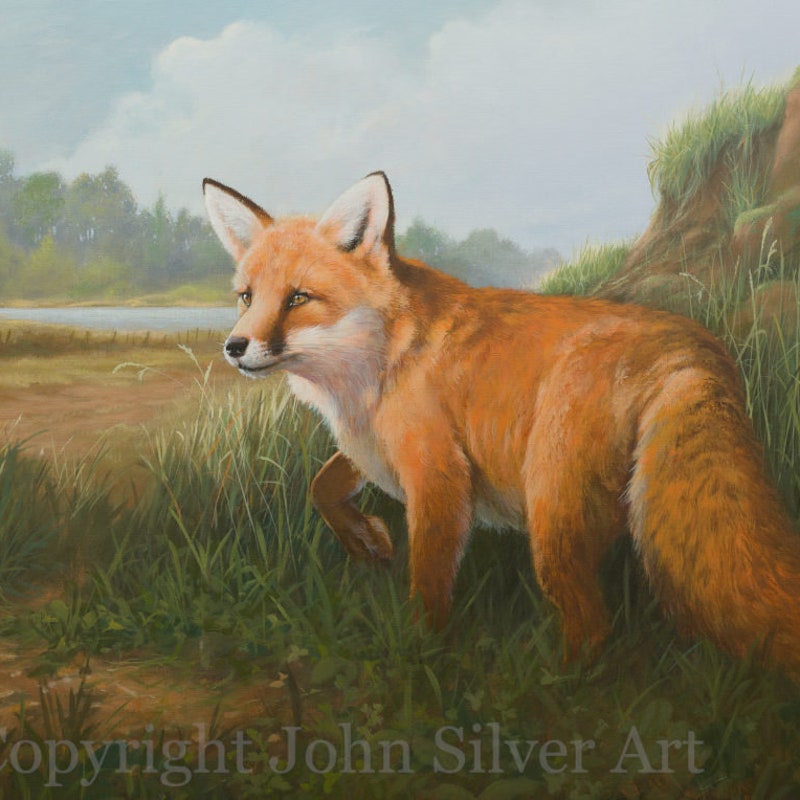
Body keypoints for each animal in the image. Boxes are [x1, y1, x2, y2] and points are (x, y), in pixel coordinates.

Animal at [203, 170, 800, 677]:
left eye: (299, 298)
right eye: (247, 297)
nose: (234, 347)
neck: (380, 361)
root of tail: (692, 351)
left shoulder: (438, 474)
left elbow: (428, 582)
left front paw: (419, 651)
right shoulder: (373, 448)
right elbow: (322, 487)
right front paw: (368, 541)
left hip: (552, 518)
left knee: (593, 629)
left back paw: (552, 691)